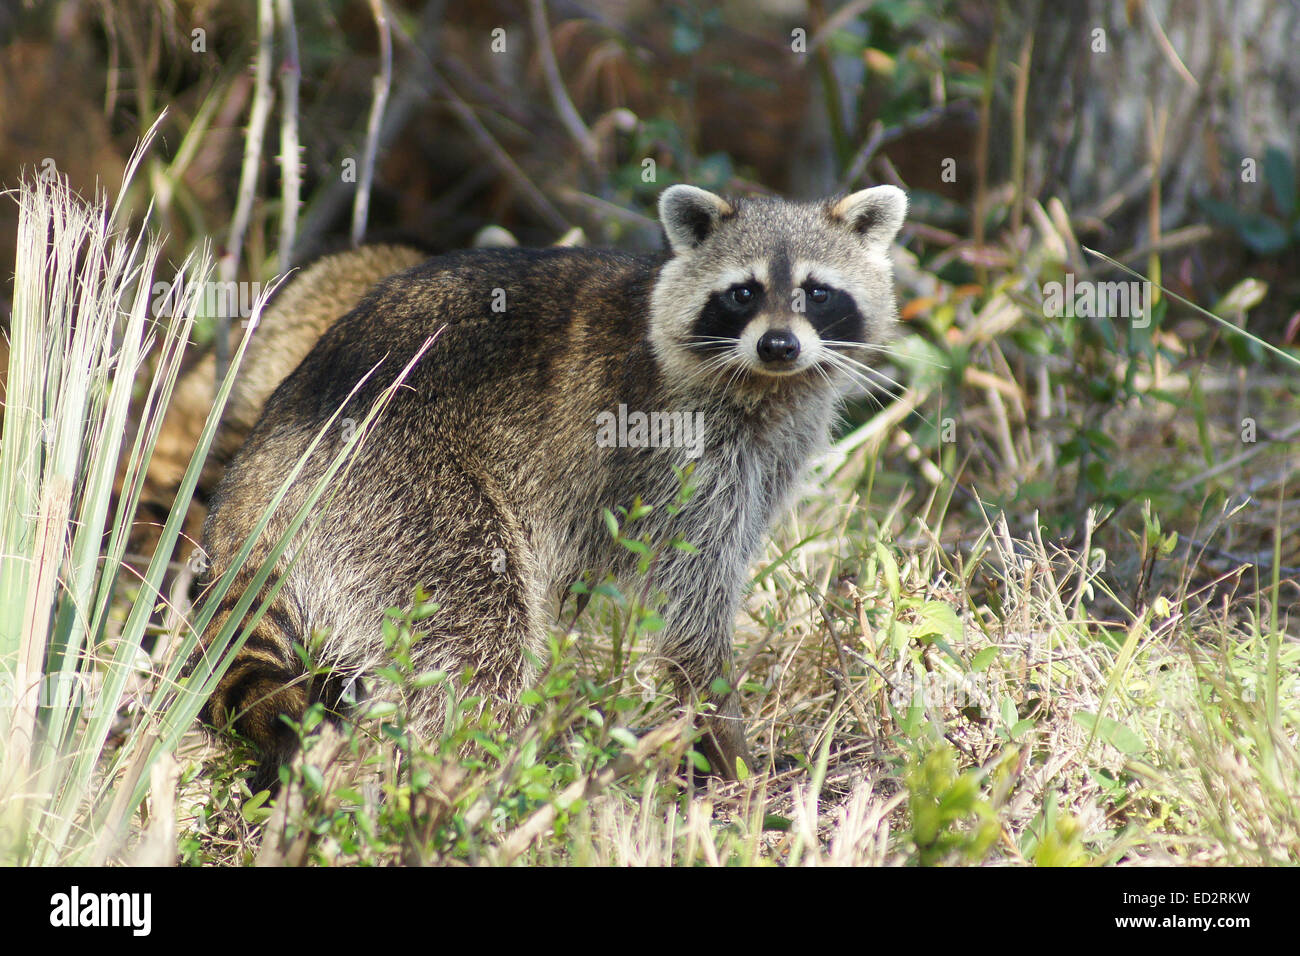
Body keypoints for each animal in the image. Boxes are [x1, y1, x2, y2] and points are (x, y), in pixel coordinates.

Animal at [195, 184, 907, 784]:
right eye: (743, 293)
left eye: (817, 292)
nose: (780, 345)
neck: (765, 387)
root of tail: (266, 456)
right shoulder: (675, 449)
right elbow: (692, 608)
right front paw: (730, 749)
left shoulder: (767, 452)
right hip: (396, 492)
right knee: (475, 634)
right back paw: (481, 771)